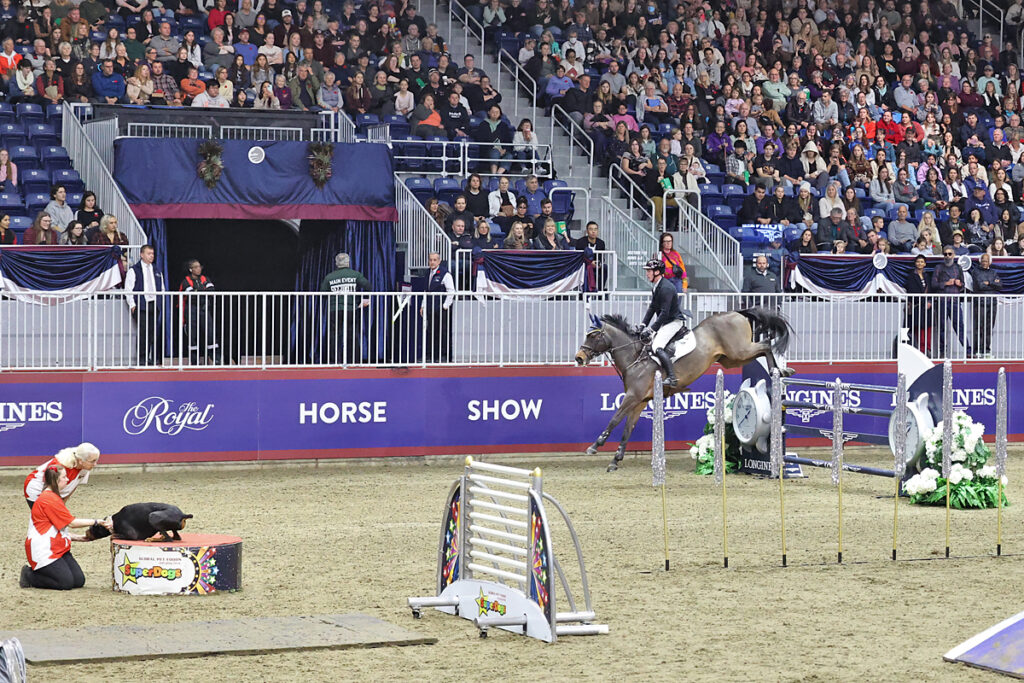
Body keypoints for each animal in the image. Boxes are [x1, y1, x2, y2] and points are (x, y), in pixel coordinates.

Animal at [574, 307, 793, 471]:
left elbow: (614, 419)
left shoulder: (632, 396)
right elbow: (628, 429)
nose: (579, 358)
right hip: (732, 359)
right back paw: (780, 371)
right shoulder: (639, 401)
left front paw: (594, 446)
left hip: (739, 351)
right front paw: (615, 460)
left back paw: (778, 370)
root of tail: (737, 313)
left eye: (593, 336)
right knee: (762, 348)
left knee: (765, 344)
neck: (635, 358)